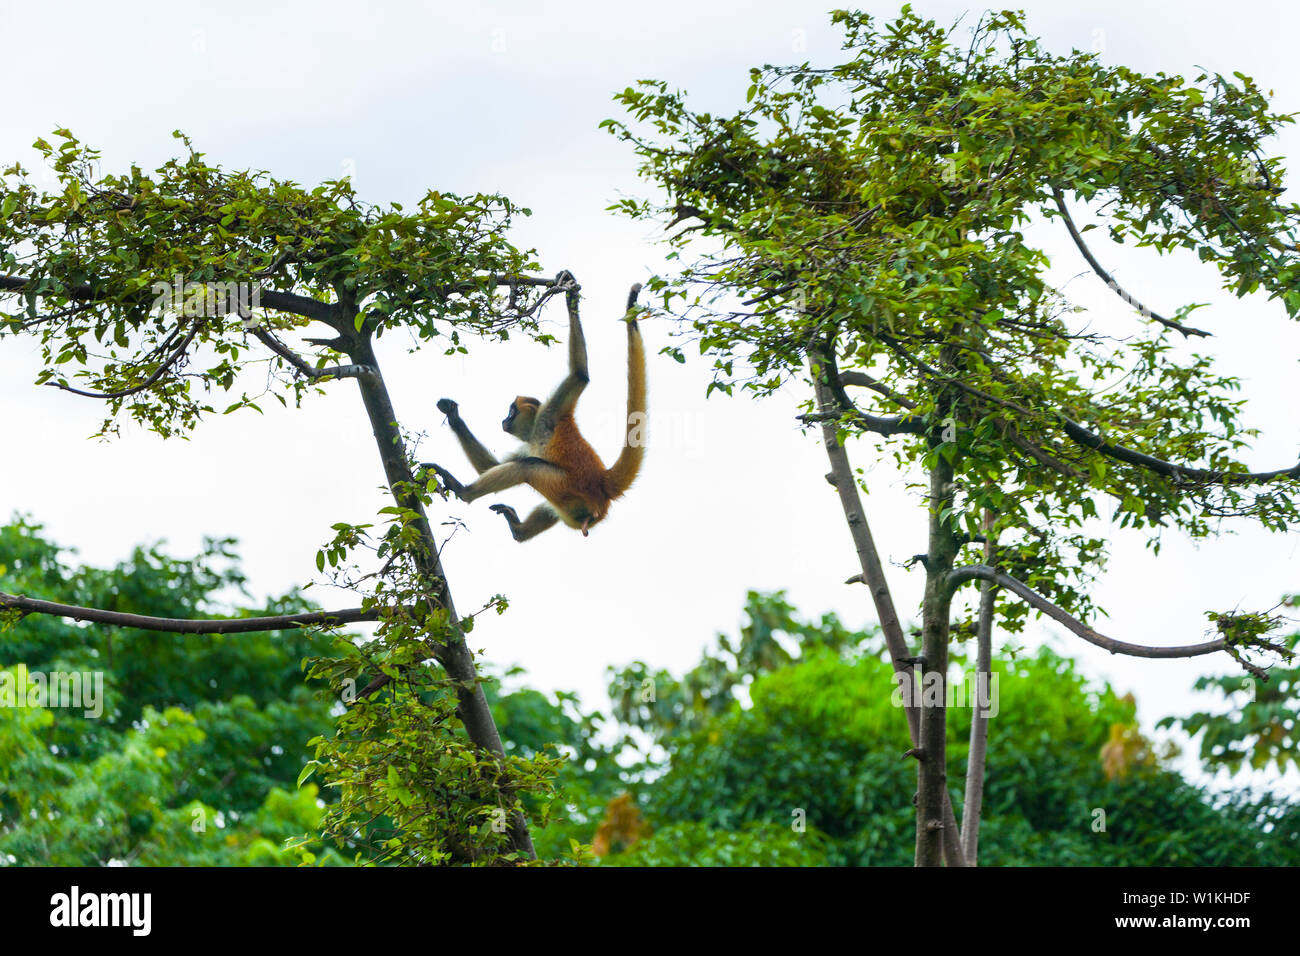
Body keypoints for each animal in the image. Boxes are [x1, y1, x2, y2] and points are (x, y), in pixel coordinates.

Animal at [421, 271, 646, 542]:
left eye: (511, 411)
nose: (504, 420)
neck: (536, 430)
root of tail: (602, 482)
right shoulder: (527, 441)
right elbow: (490, 467)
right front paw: (454, 416)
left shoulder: (552, 412)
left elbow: (580, 376)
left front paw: (571, 298)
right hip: (573, 507)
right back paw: (518, 530)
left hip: (571, 488)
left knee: (528, 467)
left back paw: (464, 492)